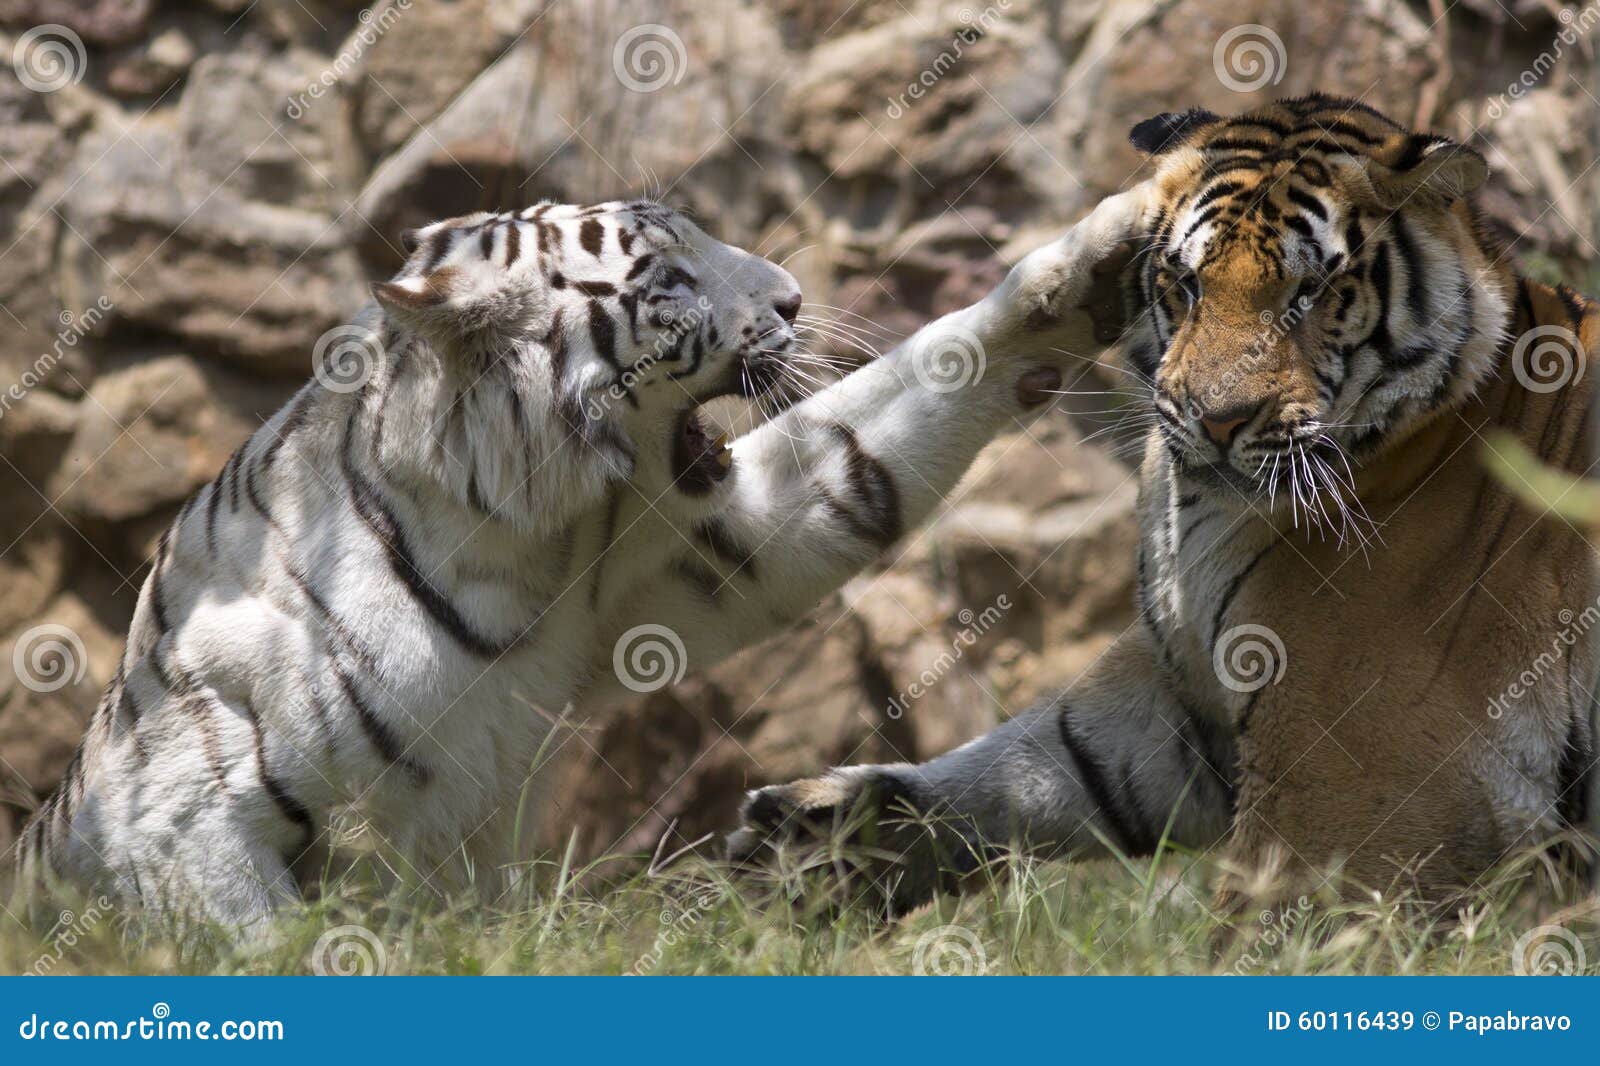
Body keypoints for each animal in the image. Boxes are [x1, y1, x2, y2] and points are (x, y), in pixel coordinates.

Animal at [6, 190, 1157, 925]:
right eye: (671, 277)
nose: (792, 298)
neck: (525, 531)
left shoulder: (668, 563)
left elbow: (860, 450)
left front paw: (1082, 265)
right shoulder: (179, 811)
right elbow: (262, 935)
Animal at [731, 93, 1600, 912]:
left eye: (1311, 292)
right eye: (1187, 284)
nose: (1218, 419)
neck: (1199, 512)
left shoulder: (1362, 771)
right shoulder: (1177, 694)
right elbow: (1041, 761)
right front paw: (812, 845)